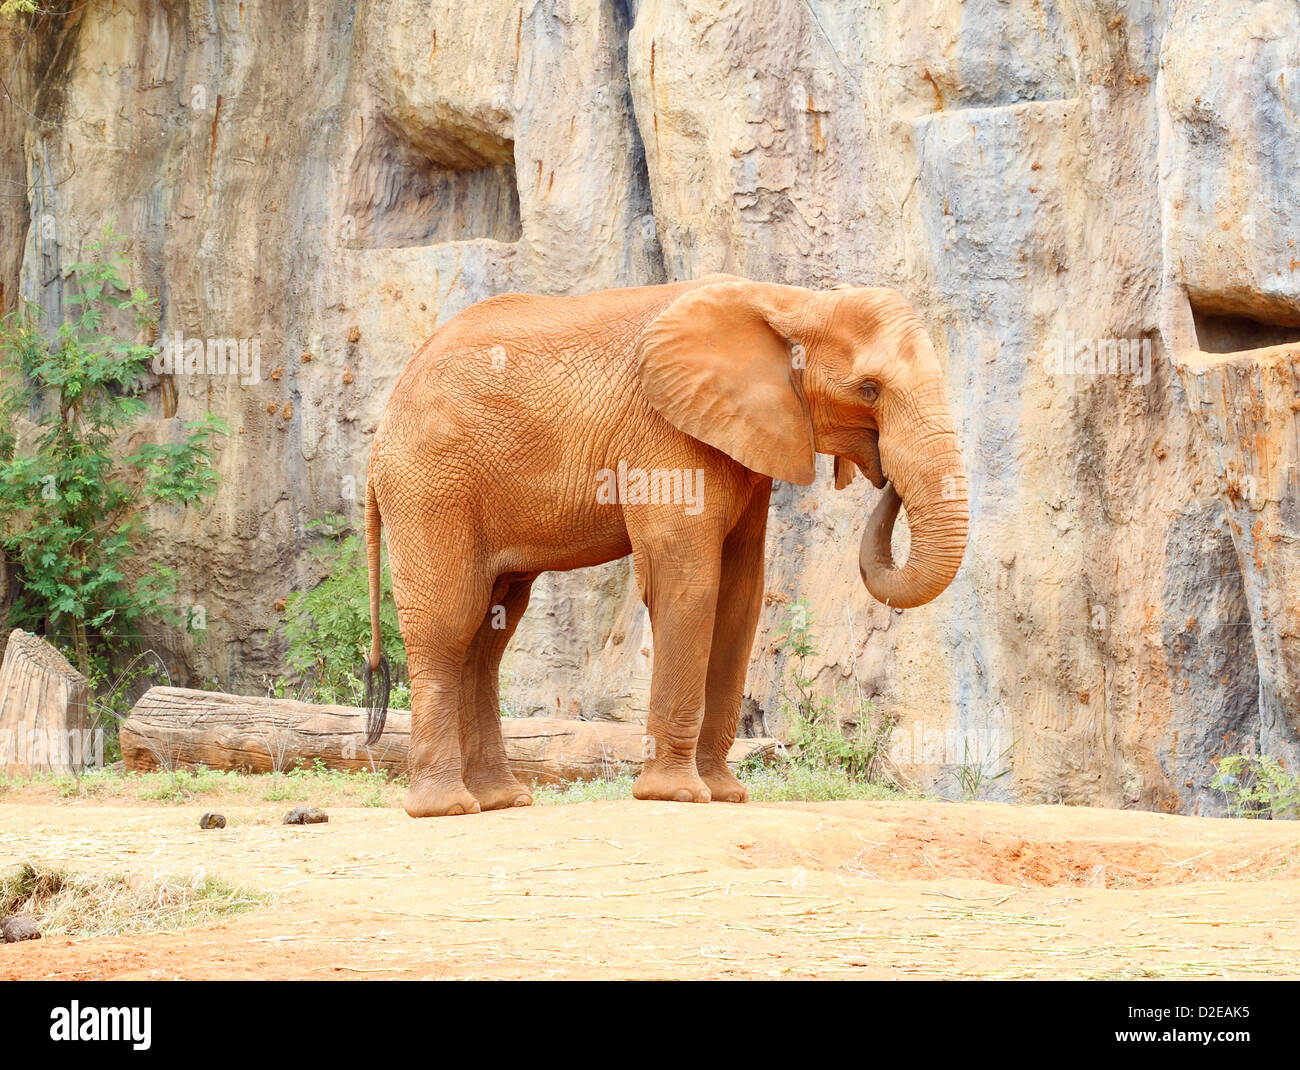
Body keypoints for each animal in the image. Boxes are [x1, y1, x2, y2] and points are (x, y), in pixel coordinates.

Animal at [363, 274, 968, 817]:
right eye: (869, 389)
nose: (885, 475)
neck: (790, 299)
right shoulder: (668, 435)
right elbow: (690, 585)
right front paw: (676, 796)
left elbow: (741, 598)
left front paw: (724, 795)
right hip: (430, 486)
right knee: (449, 623)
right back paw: (446, 808)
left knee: (489, 633)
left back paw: (501, 802)